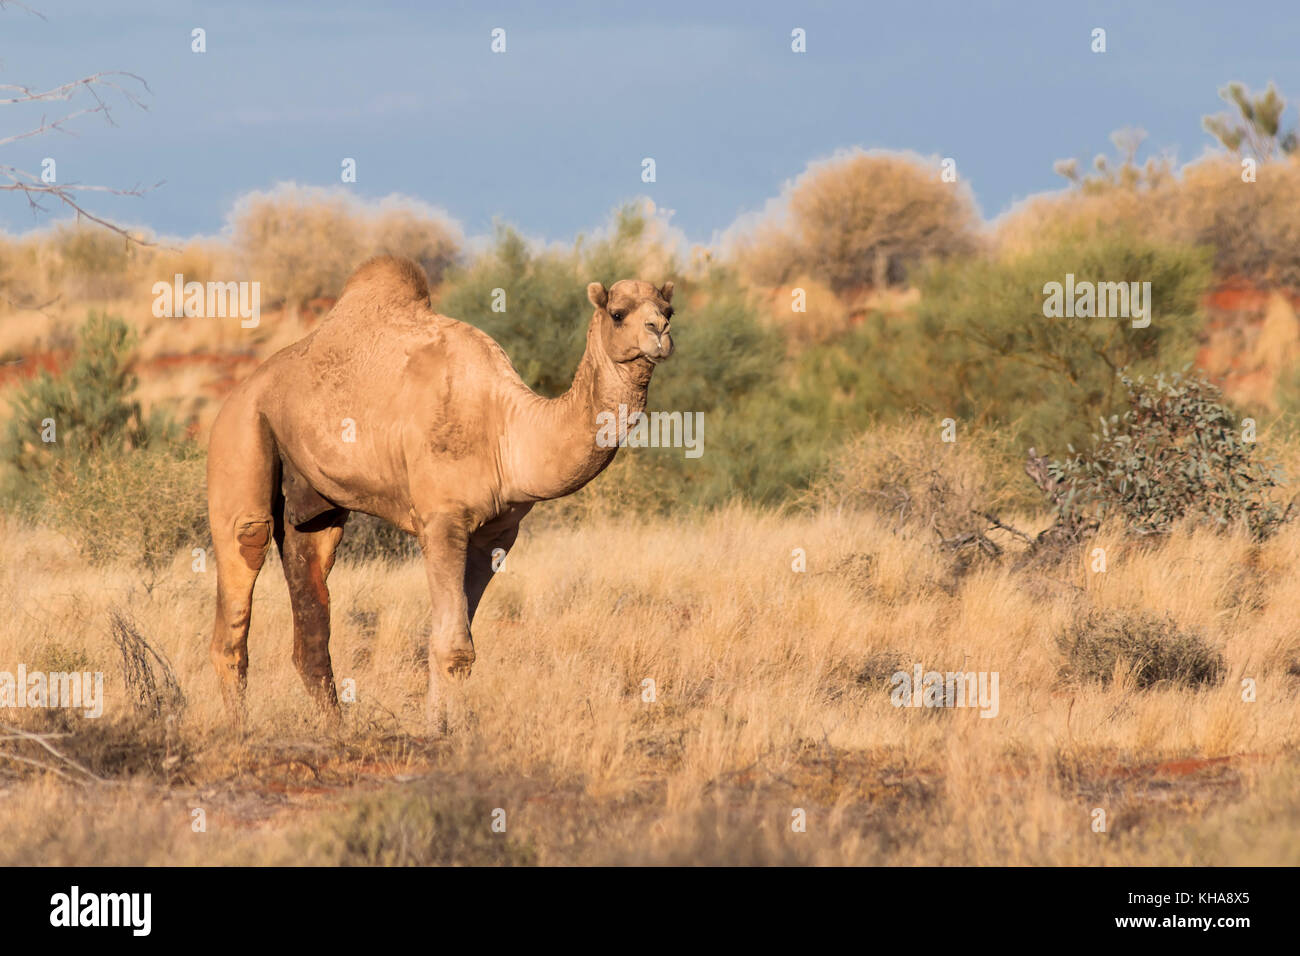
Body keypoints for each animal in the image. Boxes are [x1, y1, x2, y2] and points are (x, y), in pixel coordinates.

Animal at [206, 255, 674, 727]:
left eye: (668, 309)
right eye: (618, 313)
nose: (660, 331)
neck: (506, 428)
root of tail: (239, 391)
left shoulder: (497, 533)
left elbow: (450, 639)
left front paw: (442, 724)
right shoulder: (442, 519)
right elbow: (454, 647)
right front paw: (439, 731)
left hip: (316, 501)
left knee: (312, 580)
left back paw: (334, 729)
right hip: (242, 432)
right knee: (246, 552)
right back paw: (239, 728)